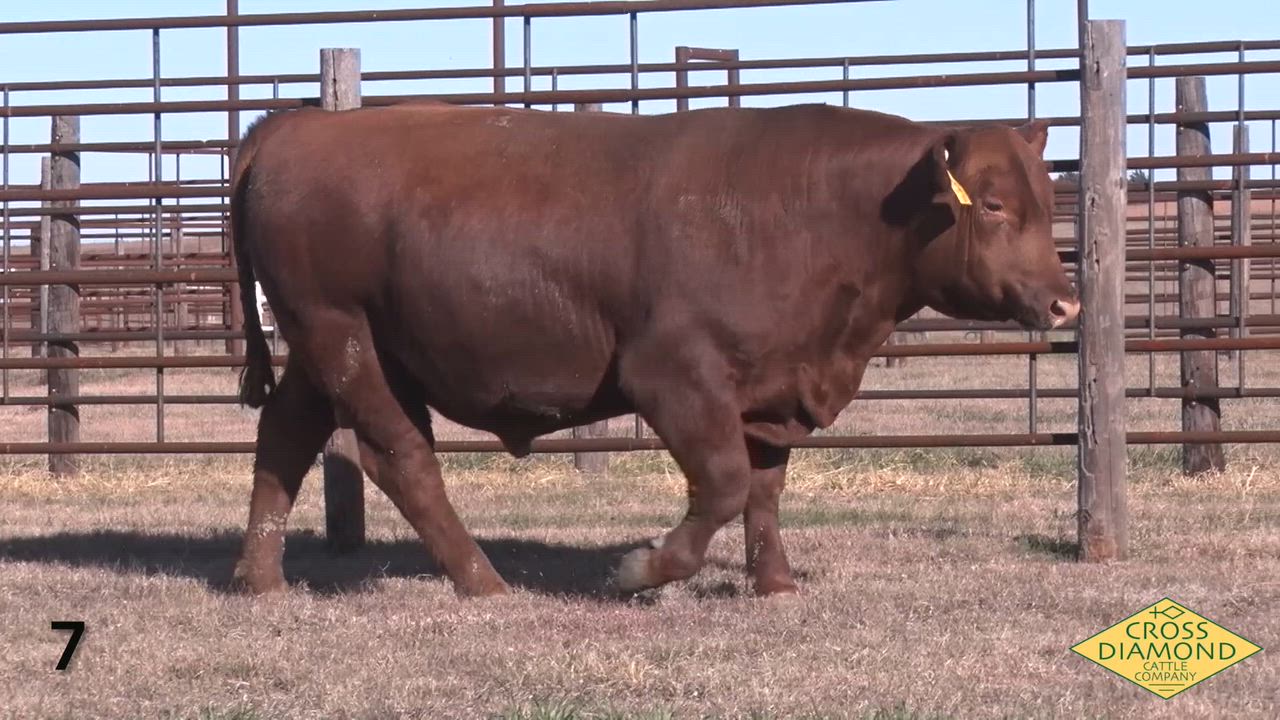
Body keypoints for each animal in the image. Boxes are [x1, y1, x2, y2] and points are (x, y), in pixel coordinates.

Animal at [229, 101, 1078, 598]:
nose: (1064, 301)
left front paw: (775, 582)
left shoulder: (772, 387)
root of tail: (296, 128)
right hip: (347, 338)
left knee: (285, 437)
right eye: (993, 204)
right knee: (401, 457)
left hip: (322, 349)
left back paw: (261, 578)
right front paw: (643, 568)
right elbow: (727, 483)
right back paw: (483, 581)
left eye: (1045, 199)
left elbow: (764, 488)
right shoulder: (674, 375)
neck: (810, 210)